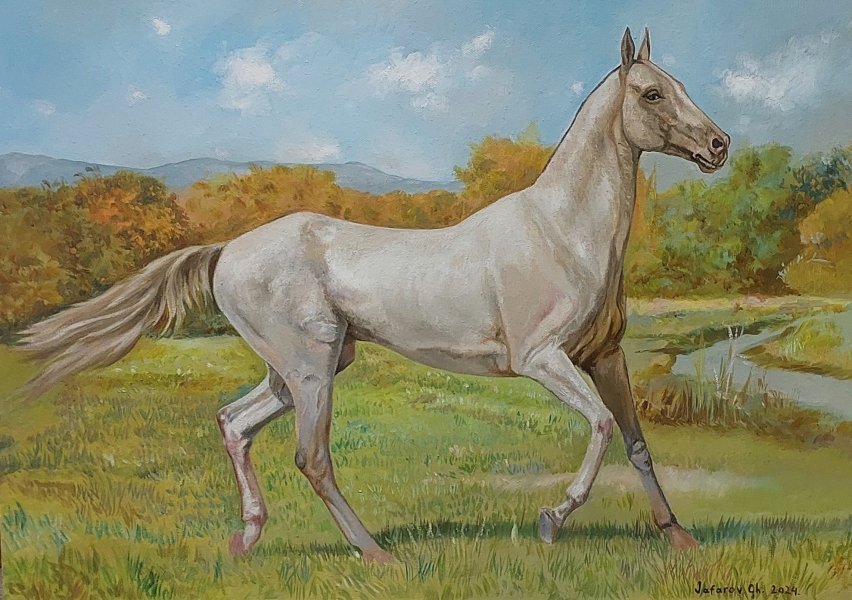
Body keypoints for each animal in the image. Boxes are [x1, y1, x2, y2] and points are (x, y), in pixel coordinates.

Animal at [16, 28, 729, 564]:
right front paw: (552, 520)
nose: (719, 145)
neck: (561, 232)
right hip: (311, 368)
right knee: (311, 457)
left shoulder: (606, 358)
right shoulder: (541, 360)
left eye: (683, 86)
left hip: (302, 369)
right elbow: (603, 427)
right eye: (652, 92)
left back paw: (248, 538)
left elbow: (636, 443)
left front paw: (680, 537)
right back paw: (375, 554)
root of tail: (227, 251)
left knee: (234, 425)